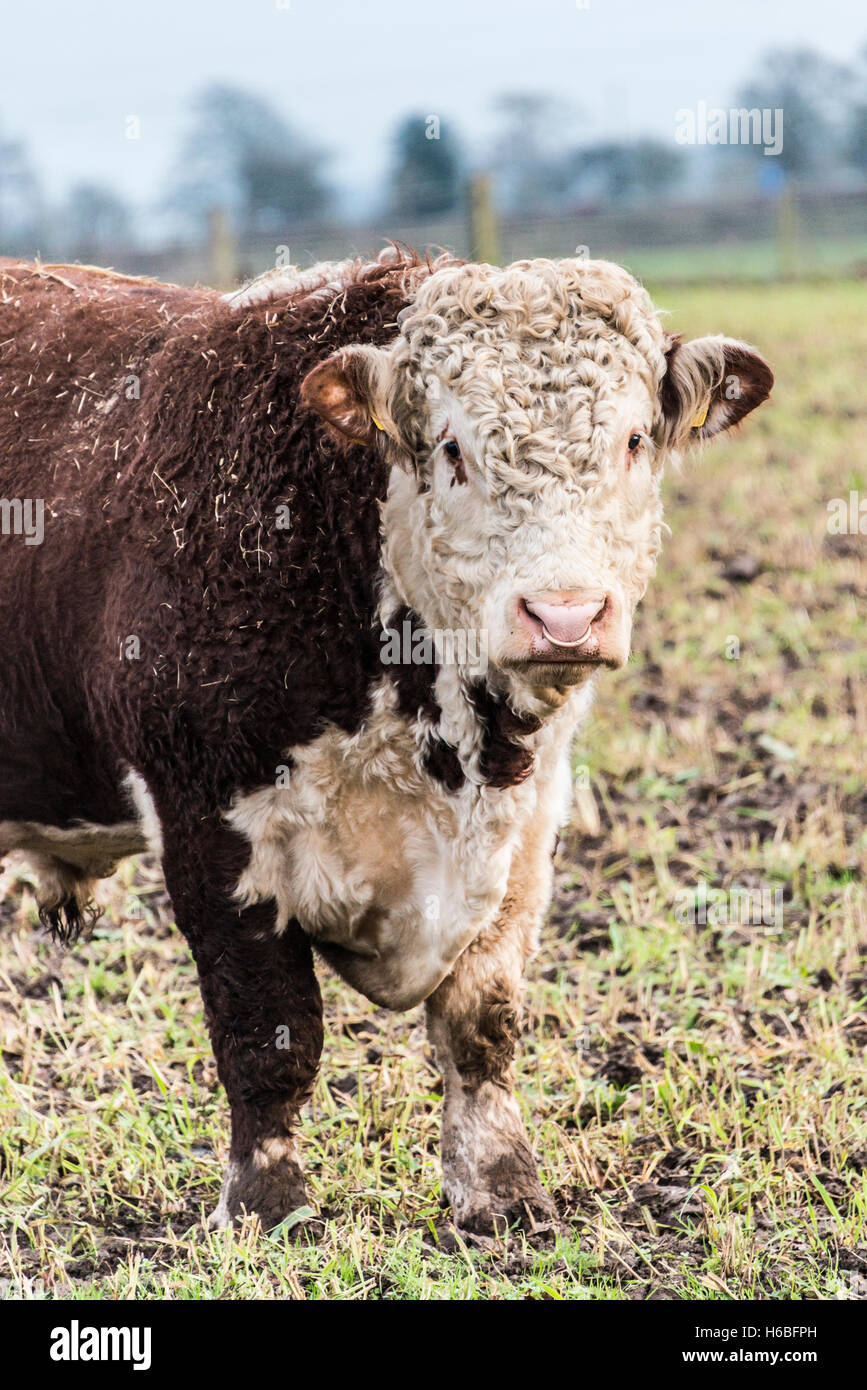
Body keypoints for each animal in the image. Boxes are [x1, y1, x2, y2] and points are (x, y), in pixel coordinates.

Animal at [0, 249, 773, 1235]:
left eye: (634, 440)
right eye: (450, 448)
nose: (564, 616)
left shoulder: (525, 829)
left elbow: (482, 1026)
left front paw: (501, 1191)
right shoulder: (210, 819)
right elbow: (268, 1033)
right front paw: (268, 1204)